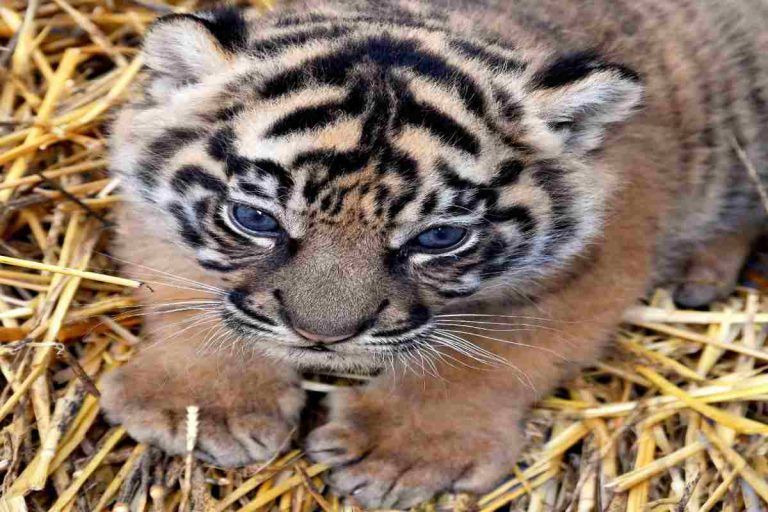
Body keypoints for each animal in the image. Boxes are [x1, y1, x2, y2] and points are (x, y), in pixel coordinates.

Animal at [101, 0, 768, 507]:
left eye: (439, 239)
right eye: (255, 219)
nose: (322, 337)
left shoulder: (602, 257)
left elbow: (485, 359)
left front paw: (401, 453)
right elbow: (189, 292)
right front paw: (203, 405)